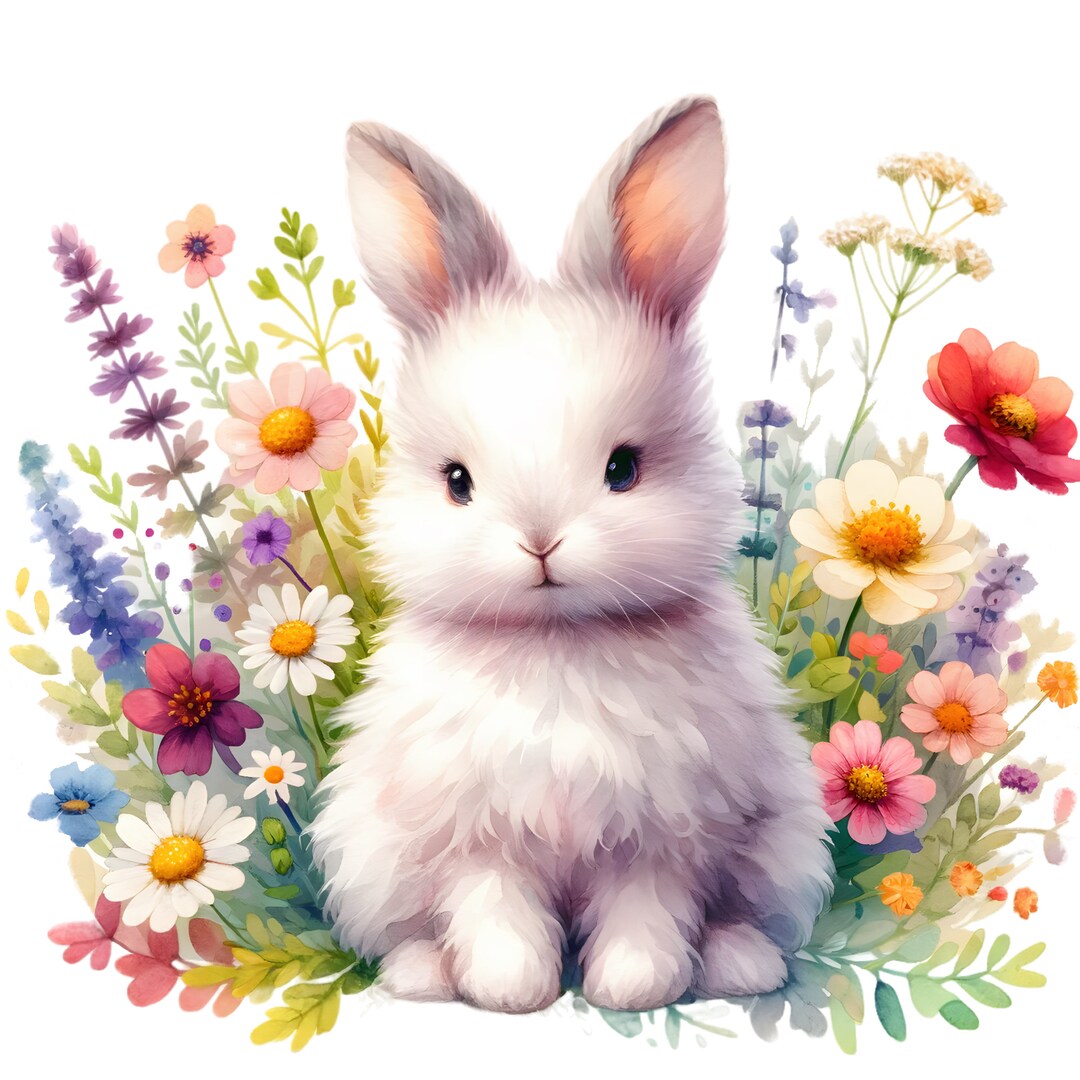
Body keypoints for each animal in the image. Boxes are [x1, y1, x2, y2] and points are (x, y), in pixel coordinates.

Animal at [309, 96, 833, 1014]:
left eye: (623, 468)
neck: (557, 640)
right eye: (456, 481)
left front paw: (633, 989)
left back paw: (742, 968)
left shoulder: (660, 837)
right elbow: (496, 914)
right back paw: (421, 976)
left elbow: (645, 914)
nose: (540, 542)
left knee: (741, 919)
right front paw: (511, 993)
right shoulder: (478, 841)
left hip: (779, 846)